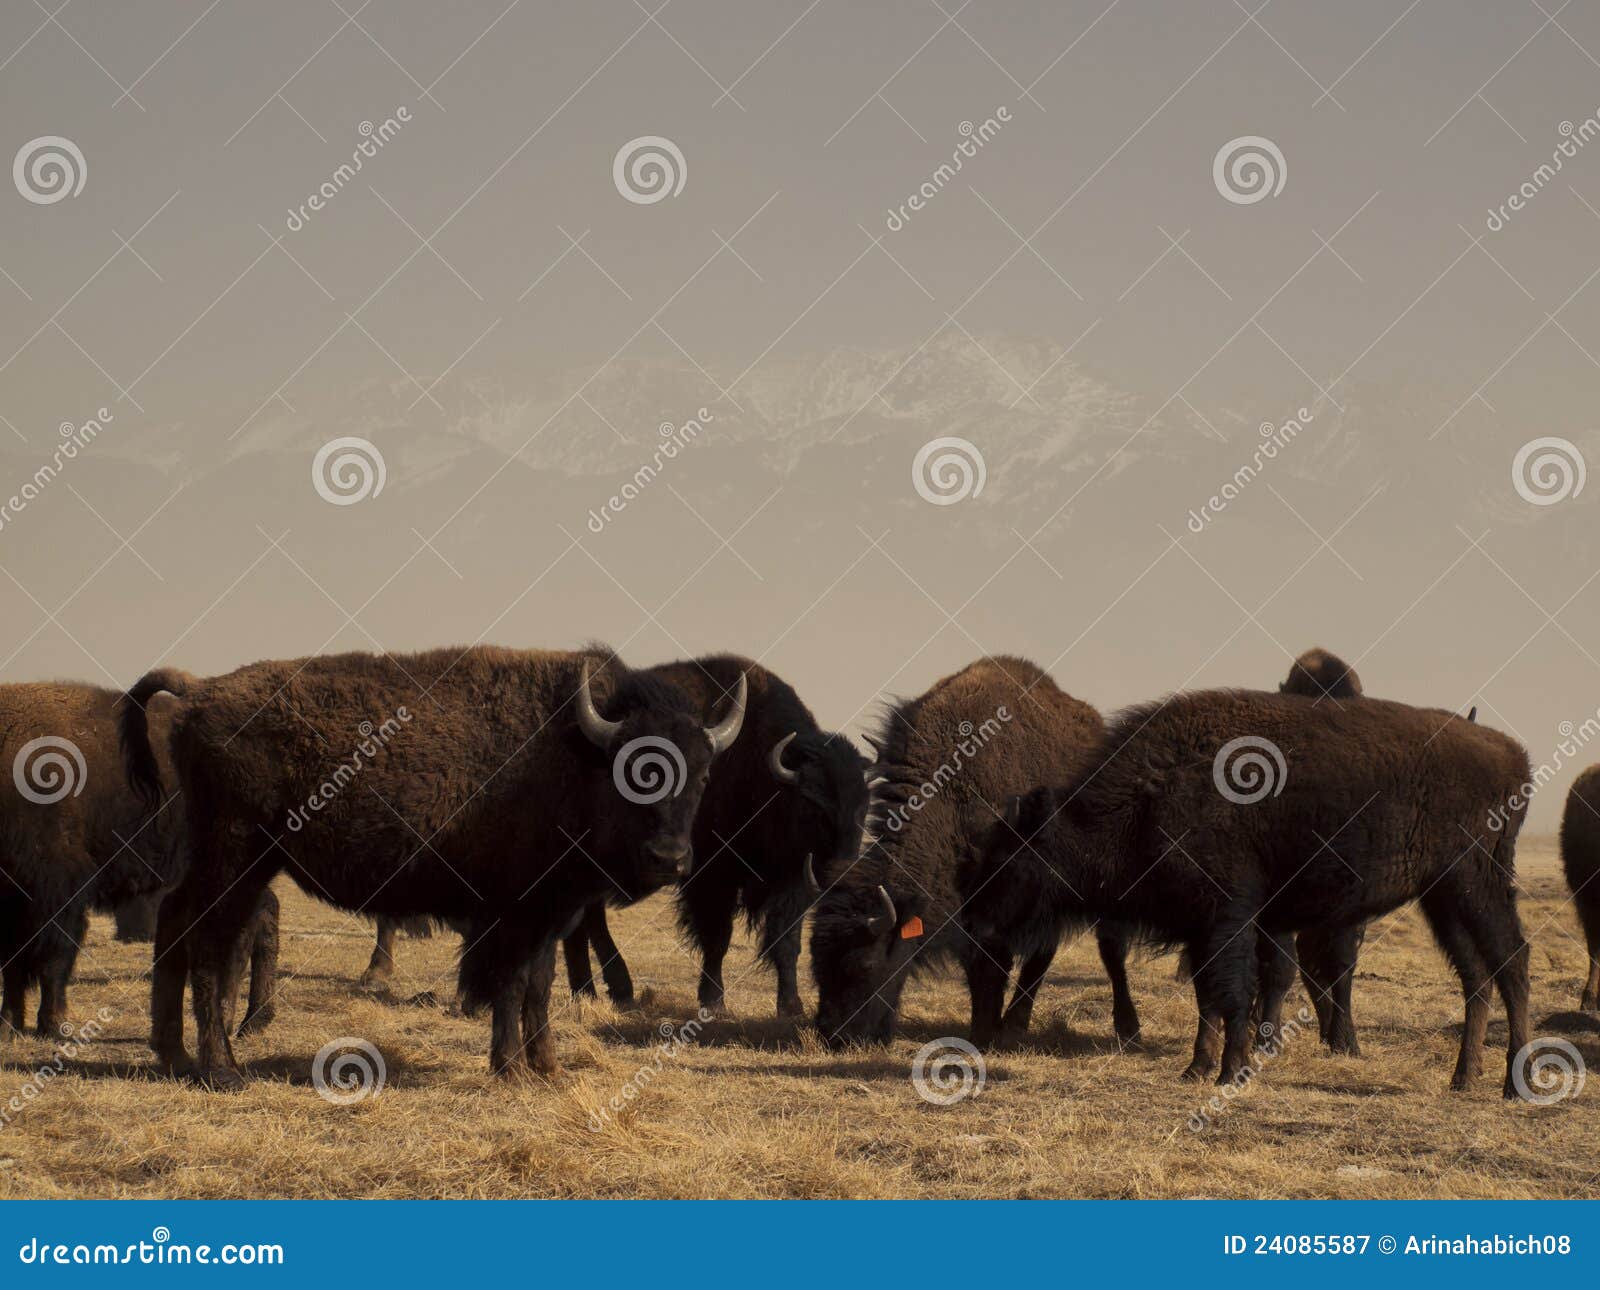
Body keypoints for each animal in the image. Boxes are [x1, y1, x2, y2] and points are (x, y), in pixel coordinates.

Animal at [119, 646, 745, 1087]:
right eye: (635, 773)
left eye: (704, 775)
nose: (670, 859)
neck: (576, 753)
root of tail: (198, 694)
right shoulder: (513, 915)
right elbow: (512, 985)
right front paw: (511, 1069)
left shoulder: (548, 914)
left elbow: (539, 987)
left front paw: (548, 1068)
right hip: (237, 859)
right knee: (208, 944)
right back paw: (222, 1069)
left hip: (221, 860)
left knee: (175, 921)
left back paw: (173, 1055)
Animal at [810, 656, 1136, 1049]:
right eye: (816, 959)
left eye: (864, 964)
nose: (832, 1035)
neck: (949, 793)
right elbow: (979, 965)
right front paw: (984, 1028)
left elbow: (994, 962)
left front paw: (987, 1032)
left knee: (1100, 947)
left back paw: (1119, 1028)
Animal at [981, 690, 1531, 1093]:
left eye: (1012, 856)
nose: (981, 923)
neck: (1150, 795)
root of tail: (1510, 752)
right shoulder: (1202, 928)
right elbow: (1208, 997)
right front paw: (1197, 1069)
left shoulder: (1228, 919)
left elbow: (1232, 995)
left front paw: (1230, 1072)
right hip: (1443, 899)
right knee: (1477, 976)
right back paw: (1463, 1078)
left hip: (1474, 885)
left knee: (1512, 961)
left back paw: (1513, 1082)